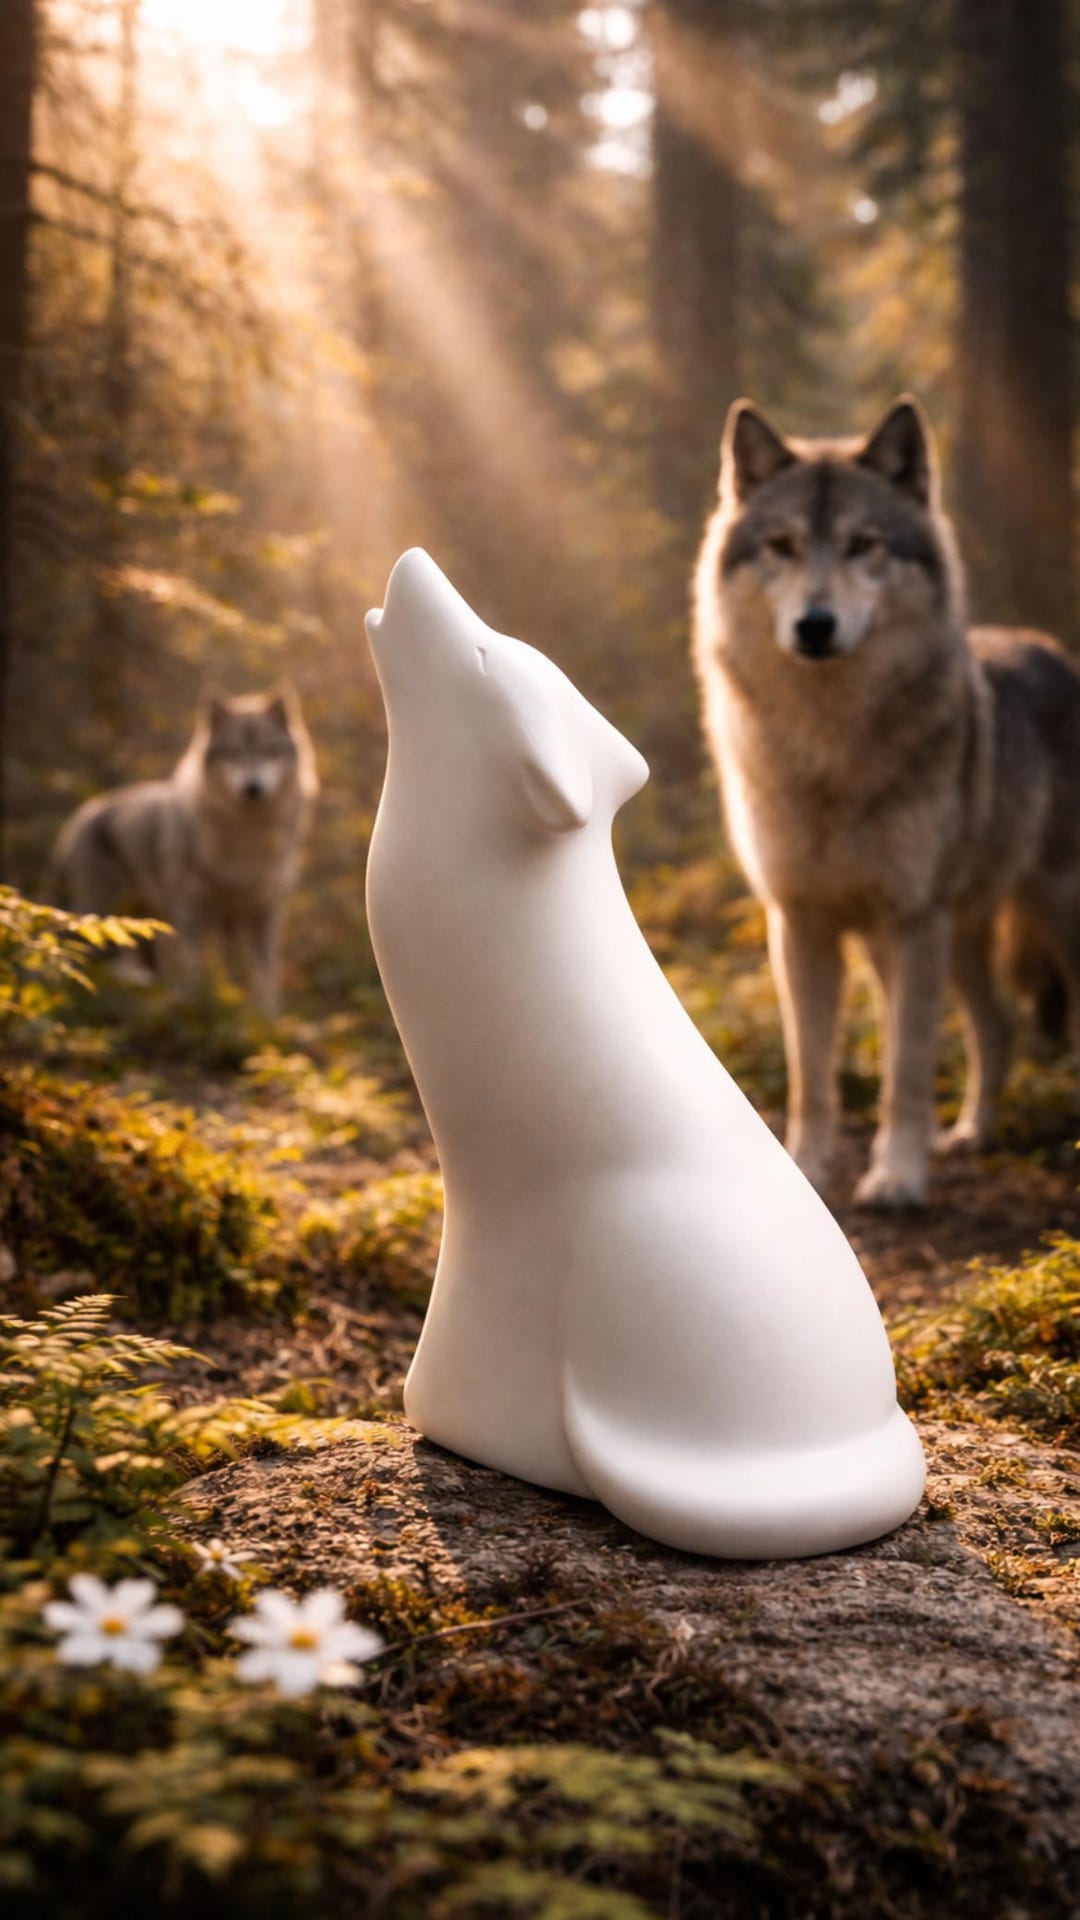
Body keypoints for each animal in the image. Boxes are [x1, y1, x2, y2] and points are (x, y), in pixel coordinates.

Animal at [50, 687, 318, 1014]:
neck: (245, 842)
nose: (252, 788)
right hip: (101, 915)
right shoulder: (191, 911)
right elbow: (197, 972)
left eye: (269, 751)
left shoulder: (262, 912)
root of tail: (79, 819)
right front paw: (202, 1006)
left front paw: (265, 1017)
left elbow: (261, 979)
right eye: (233, 753)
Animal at [693, 395, 1080, 1209]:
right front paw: (809, 1171)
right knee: (996, 1028)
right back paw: (971, 1133)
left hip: (1039, 915)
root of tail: (1051, 647)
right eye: (781, 545)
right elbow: (811, 1076)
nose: (814, 625)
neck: (831, 753)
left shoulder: (912, 920)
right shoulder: (800, 925)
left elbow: (904, 1069)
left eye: (863, 544)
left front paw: (897, 1177)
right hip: (937, 941)